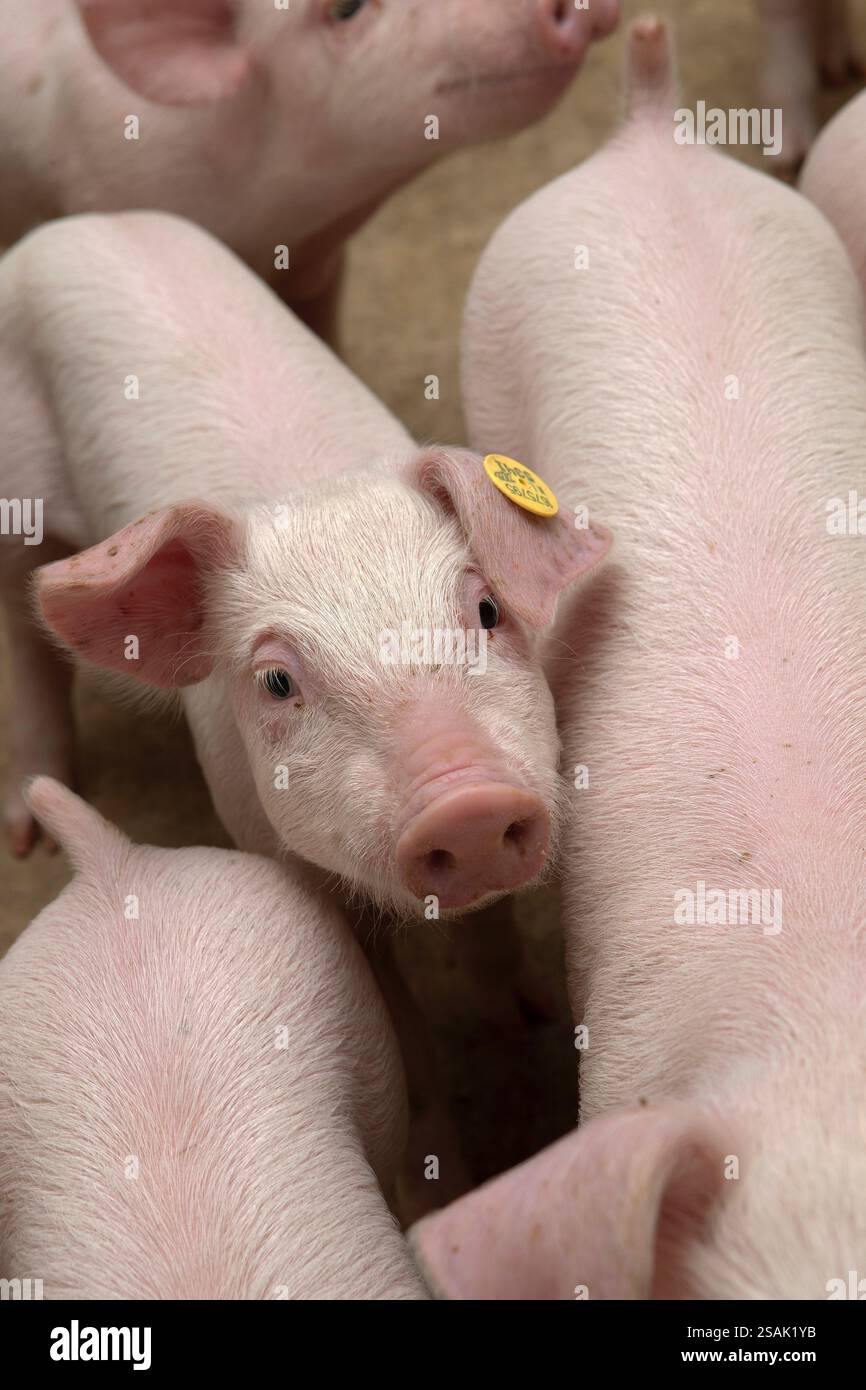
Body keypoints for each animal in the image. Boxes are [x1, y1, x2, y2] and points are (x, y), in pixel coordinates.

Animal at [0, 211, 611, 918]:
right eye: (275, 682)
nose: (468, 808)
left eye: (488, 611)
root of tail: (80, 223)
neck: (309, 488)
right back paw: (28, 841)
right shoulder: (248, 812)